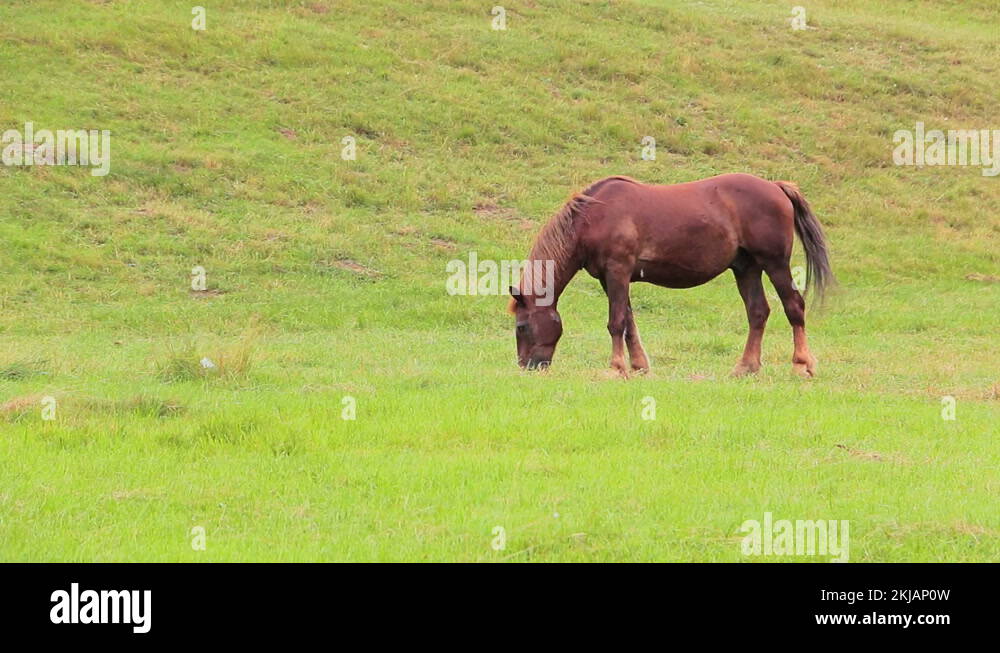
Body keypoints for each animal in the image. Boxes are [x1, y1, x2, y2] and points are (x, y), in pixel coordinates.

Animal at [507, 173, 833, 378]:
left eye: (521, 326)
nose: (527, 366)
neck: (594, 218)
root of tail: (776, 187)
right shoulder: (612, 278)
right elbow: (629, 323)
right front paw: (638, 366)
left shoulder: (617, 271)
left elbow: (616, 323)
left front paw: (616, 368)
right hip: (747, 268)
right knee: (758, 312)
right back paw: (745, 367)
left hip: (775, 263)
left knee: (793, 307)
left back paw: (801, 365)